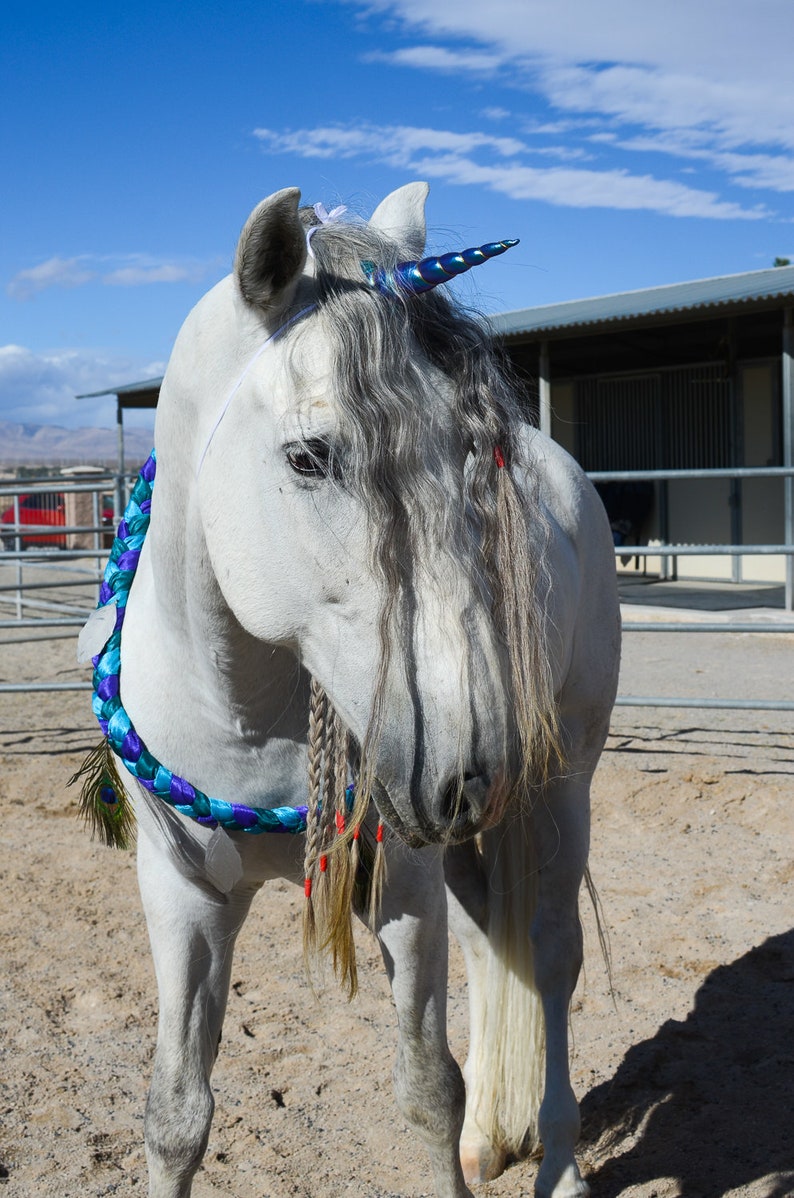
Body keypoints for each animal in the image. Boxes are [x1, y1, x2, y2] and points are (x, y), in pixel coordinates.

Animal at [79, 183, 620, 1198]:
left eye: (476, 452)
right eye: (308, 457)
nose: (464, 770)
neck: (245, 714)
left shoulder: (401, 882)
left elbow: (428, 1091)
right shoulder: (178, 892)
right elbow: (176, 1114)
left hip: (559, 786)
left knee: (552, 955)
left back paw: (559, 1160)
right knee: (492, 937)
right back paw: (495, 1138)